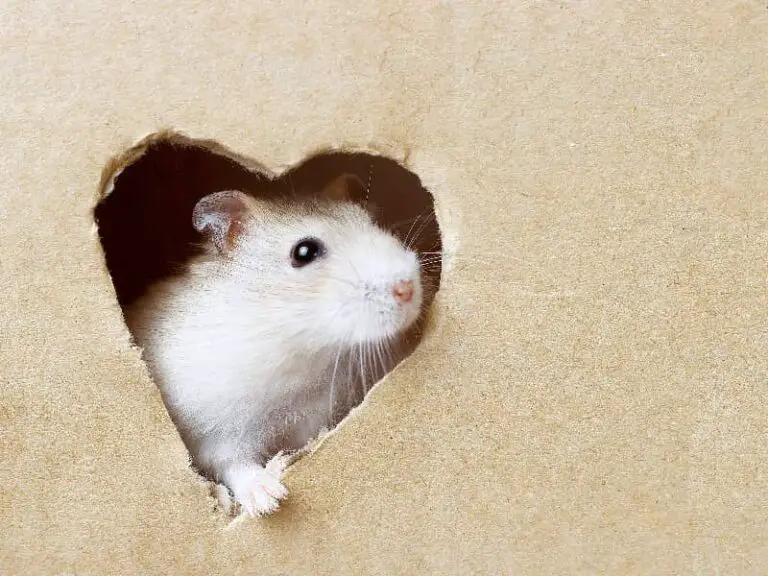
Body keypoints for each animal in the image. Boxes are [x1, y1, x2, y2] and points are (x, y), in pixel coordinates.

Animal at [124, 173, 424, 516]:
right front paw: (270, 501)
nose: (407, 289)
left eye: (372, 221)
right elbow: (235, 465)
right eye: (304, 252)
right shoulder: (215, 434)